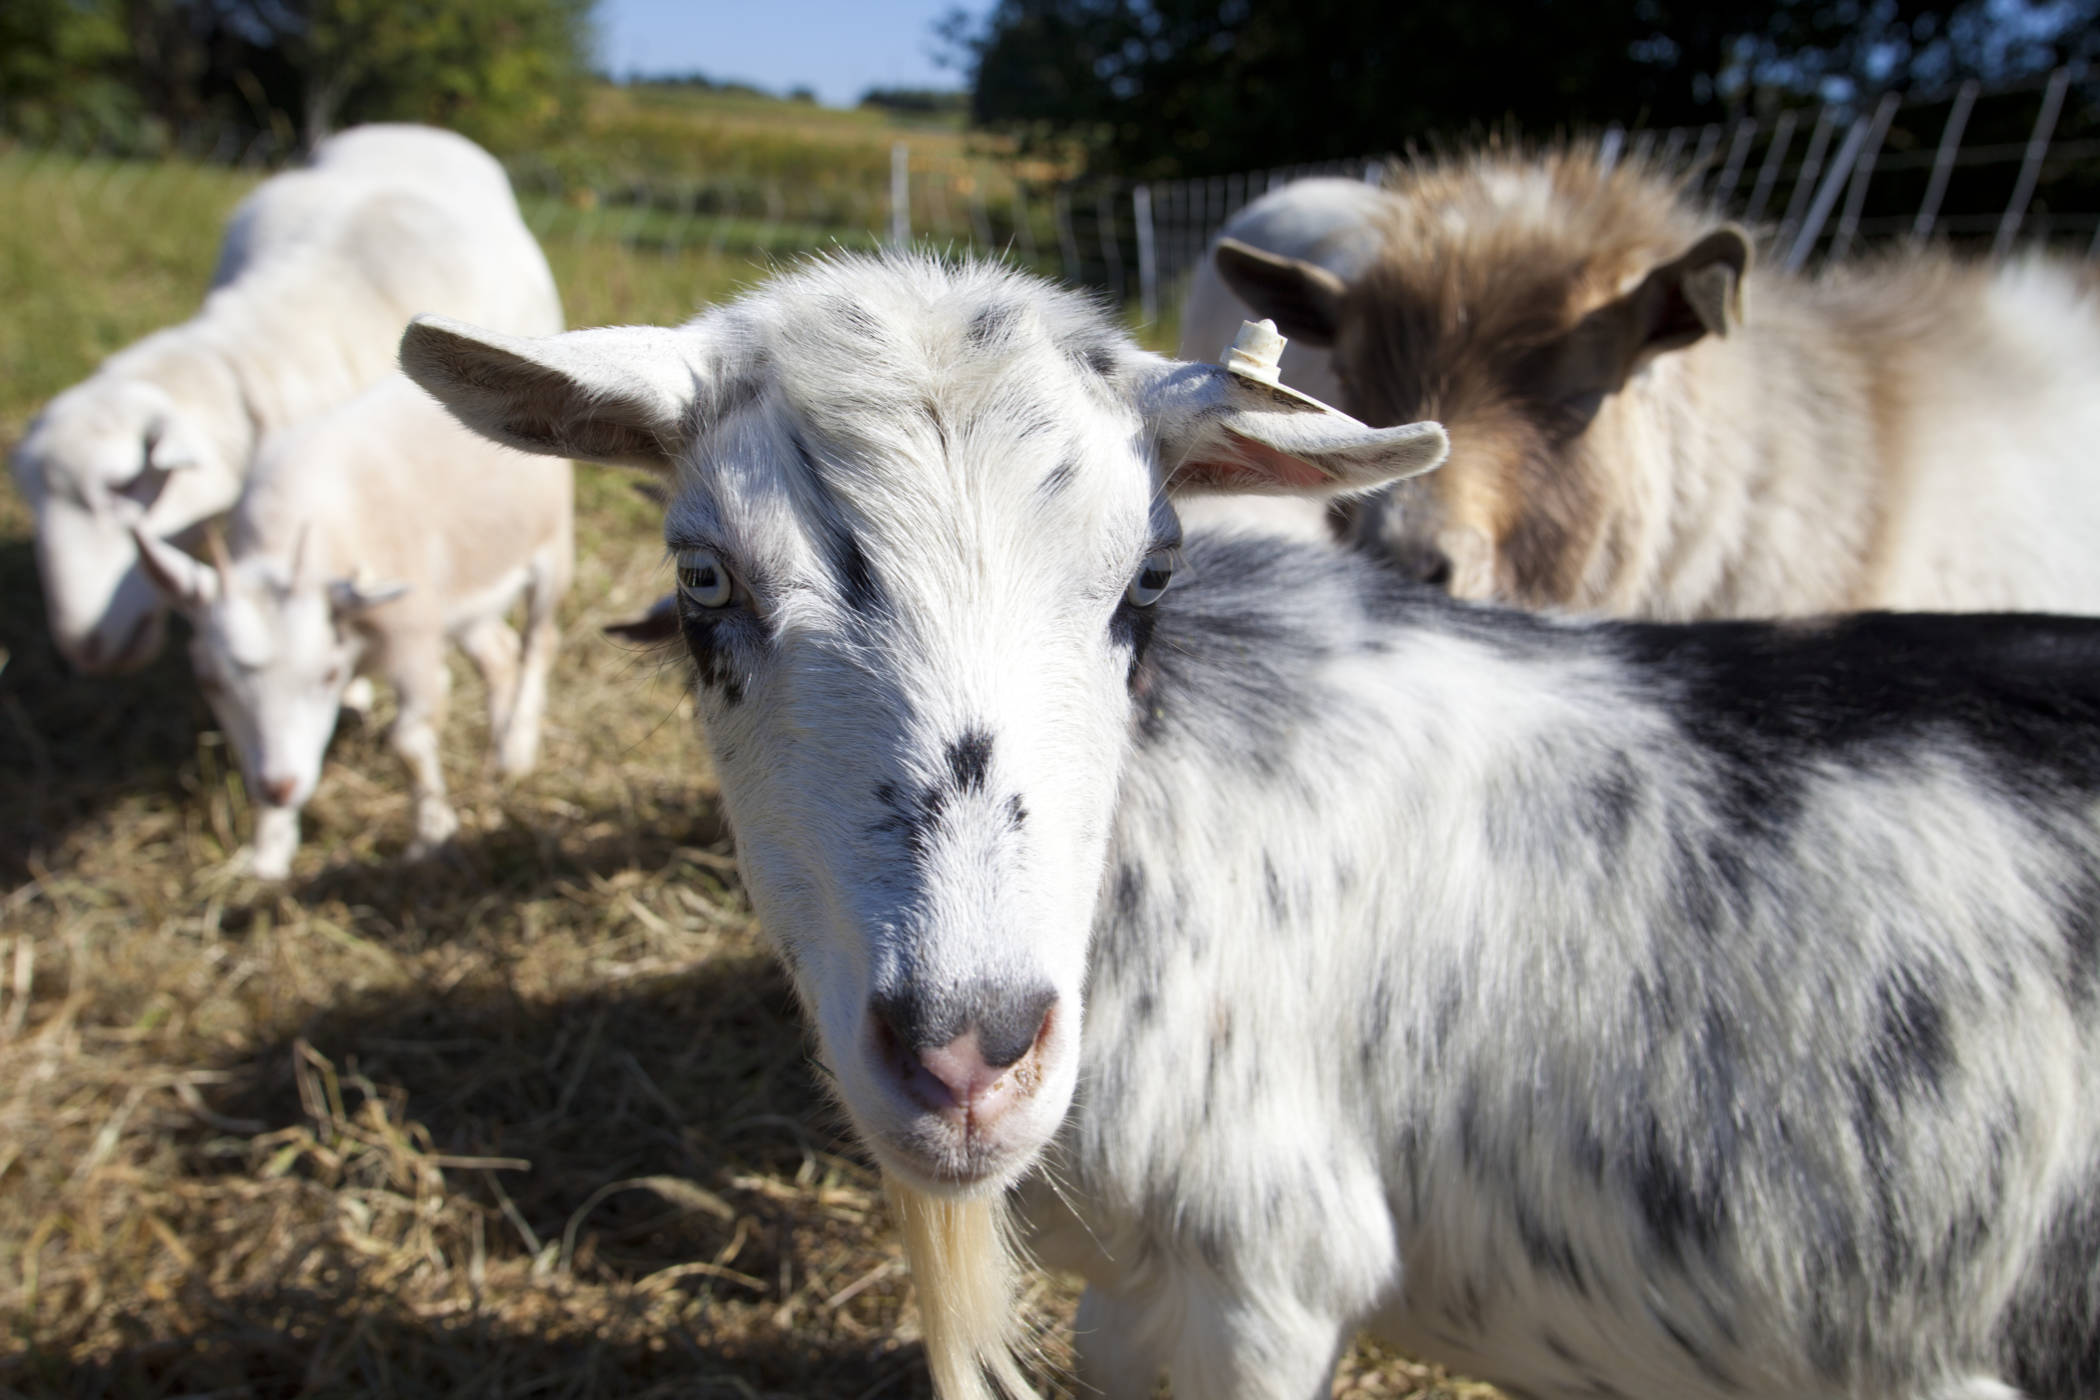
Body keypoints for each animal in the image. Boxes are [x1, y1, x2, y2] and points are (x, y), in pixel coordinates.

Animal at [135, 375, 570, 879]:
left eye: (326, 676)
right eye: (211, 683)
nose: (280, 788)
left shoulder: (415, 639)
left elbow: (408, 742)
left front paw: (431, 837)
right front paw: (267, 855)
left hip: (551, 550)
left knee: (539, 641)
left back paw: (518, 746)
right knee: (498, 653)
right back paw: (501, 752)